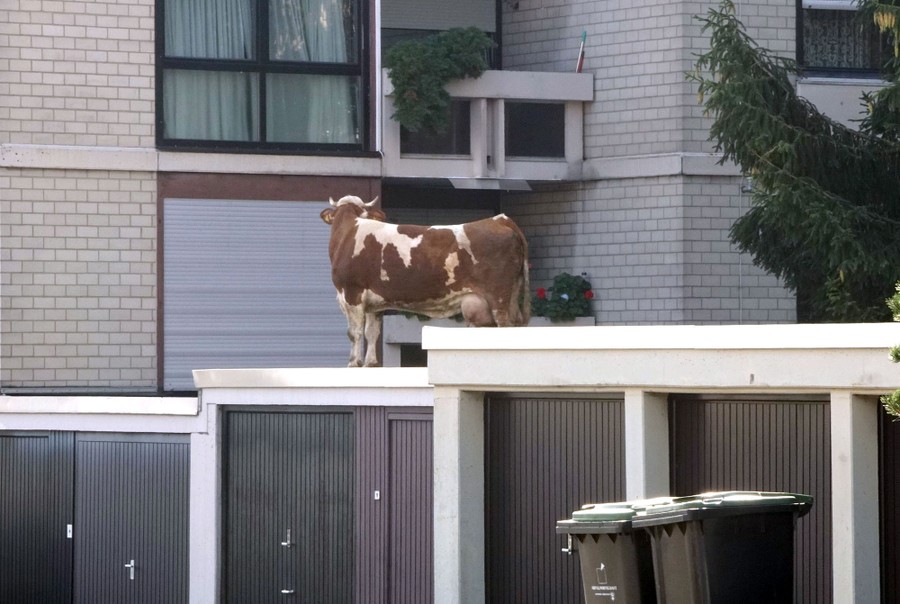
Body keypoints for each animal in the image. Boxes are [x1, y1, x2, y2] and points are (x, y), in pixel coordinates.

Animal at [320, 195, 531, 367]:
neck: (348, 232)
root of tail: (499, 220)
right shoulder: (374, 300)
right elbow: (372, 332)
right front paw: (370, 363)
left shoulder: (351, 292)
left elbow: (354, 332)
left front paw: (353, 363)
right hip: (511, 297)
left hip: (499, 298)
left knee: (504, 327)